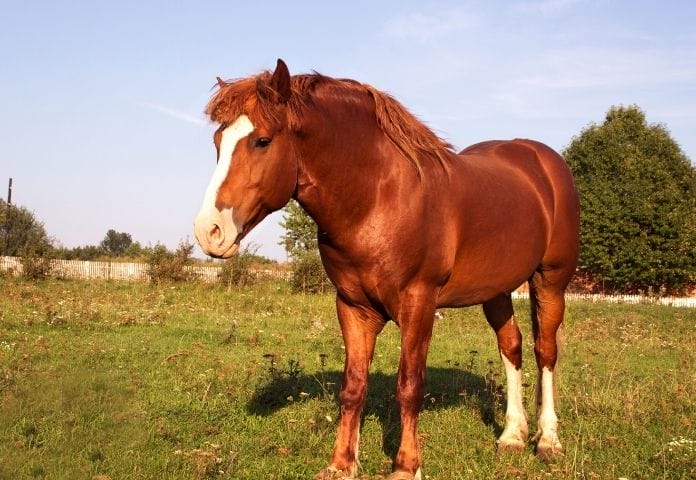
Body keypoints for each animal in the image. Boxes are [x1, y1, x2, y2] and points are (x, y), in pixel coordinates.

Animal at [194, 59, 579, 480]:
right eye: (217, 142)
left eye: (261, 141)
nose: (210, 232)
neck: (379, 197)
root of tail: (542, 162)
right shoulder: (353, 307)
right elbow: (353, 387)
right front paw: (341, 464)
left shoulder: (419, 304)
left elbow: (409, 385)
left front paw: (406, 466)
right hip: (496, 290)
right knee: (511, 345)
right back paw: (511, 436)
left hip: (551, 281)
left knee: (545, 351)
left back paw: (548, 440)